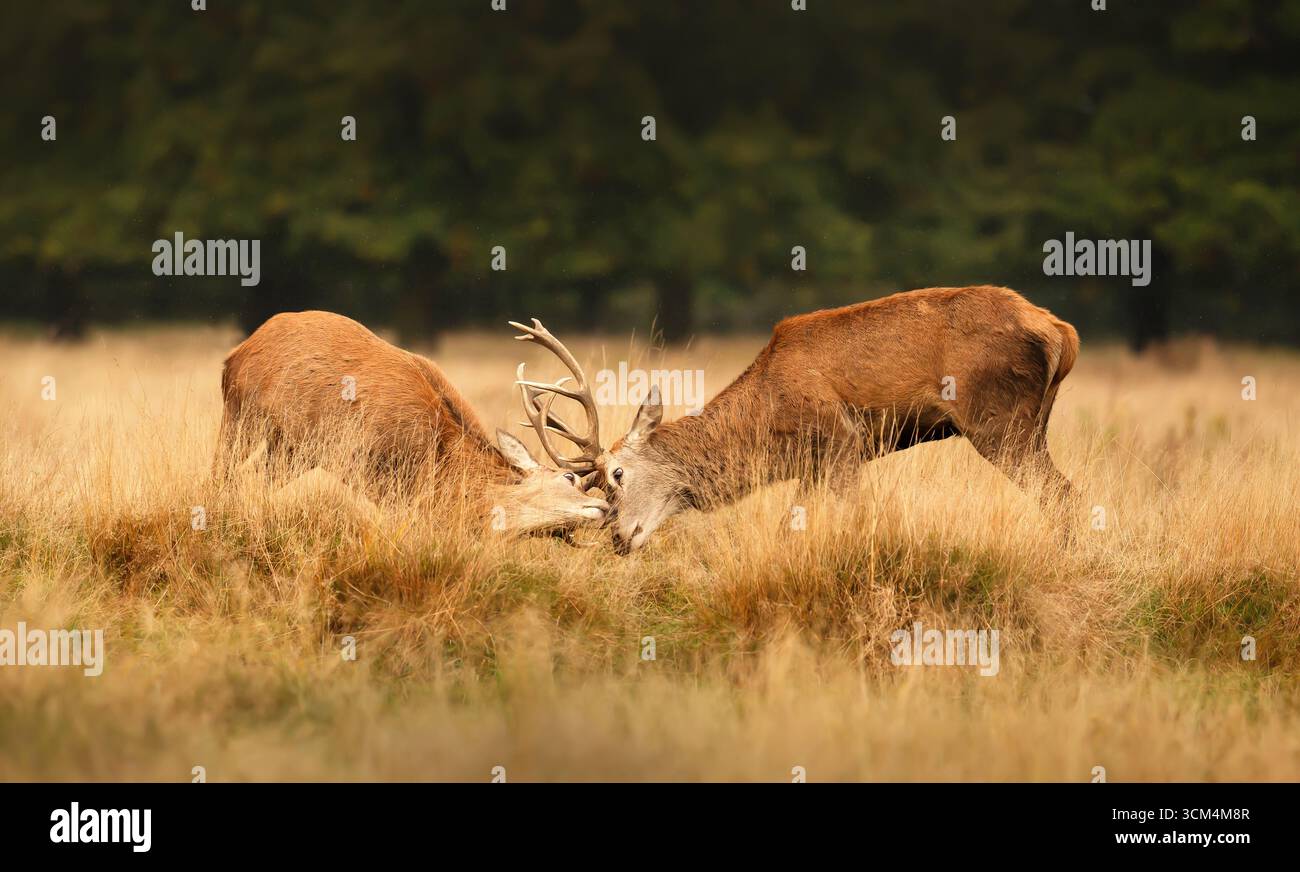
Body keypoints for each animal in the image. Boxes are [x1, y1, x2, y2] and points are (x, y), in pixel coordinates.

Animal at [215, 310, 609, 538]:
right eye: (569, 477)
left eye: (558, 535)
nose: (606, 510)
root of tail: (234, 355)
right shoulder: (365, 463)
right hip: (242, 417)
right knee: (222, 475)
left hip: (289, 449)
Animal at [515, 285, 1080, 553]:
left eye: (618, 473)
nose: (618, 539)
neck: (765, 423)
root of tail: (1061, 332)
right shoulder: (812, 465)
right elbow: (791, 526)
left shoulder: (842, 440)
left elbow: (854, 518)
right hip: (1034, 419)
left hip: (998, 419)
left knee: (1063, 493)